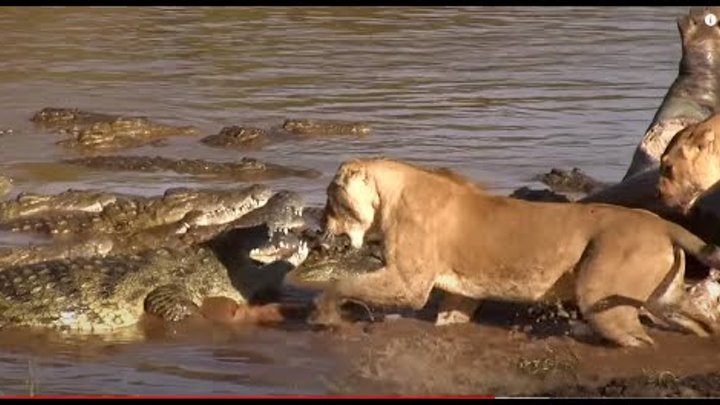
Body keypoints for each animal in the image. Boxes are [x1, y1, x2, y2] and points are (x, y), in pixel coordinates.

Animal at [309, 157, 720, 347]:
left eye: (331, 198)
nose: (320, 224)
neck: (390, 195)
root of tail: (661, 222)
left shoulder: (408, 285)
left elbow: (342, 284)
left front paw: (324, 315)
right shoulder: (459, 293)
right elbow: (450, 319)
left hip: (599, 295)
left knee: (639, 338)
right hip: (664, 299)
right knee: (699, 321)